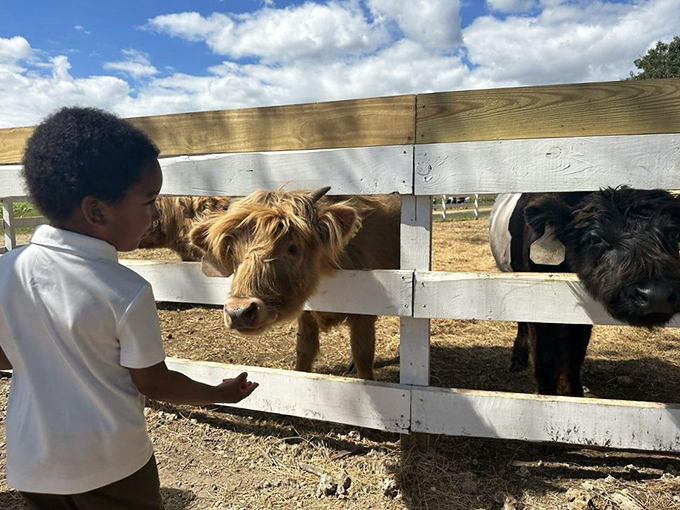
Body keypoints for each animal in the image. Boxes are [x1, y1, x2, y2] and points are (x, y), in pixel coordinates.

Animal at [189, 187, 401, 380]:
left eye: (293, 248)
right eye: (232, 251)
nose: (238, 312)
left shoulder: (364, 314)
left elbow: (363, 355)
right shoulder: (306, 314)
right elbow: (304, 351)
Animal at [489, 187, 680, 396]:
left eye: (673, 235)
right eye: (595, 238)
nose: (656, 295)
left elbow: (575, 355)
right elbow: (545, 361)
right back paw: (517, 360)